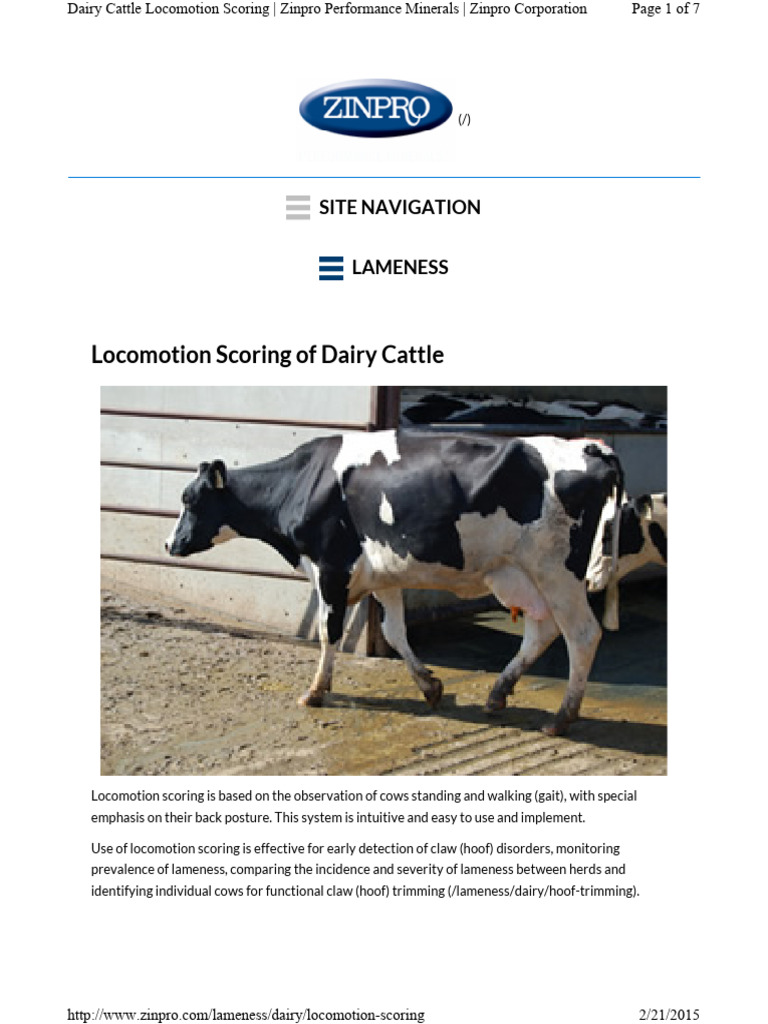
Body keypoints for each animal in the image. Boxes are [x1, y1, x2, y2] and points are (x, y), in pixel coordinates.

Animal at [165, 429, 624, 735]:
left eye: (190, 500)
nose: (169, 543)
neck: (304, 483)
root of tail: (591, 447)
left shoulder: (330, 567)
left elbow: (328, 633)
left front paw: (315, 692)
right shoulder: (382, 572)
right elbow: (394, 631)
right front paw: (430, 686)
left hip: (556, 571)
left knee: (581, 634)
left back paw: (563, 716)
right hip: (522, 574)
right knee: (542, 629)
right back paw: (499, 692)